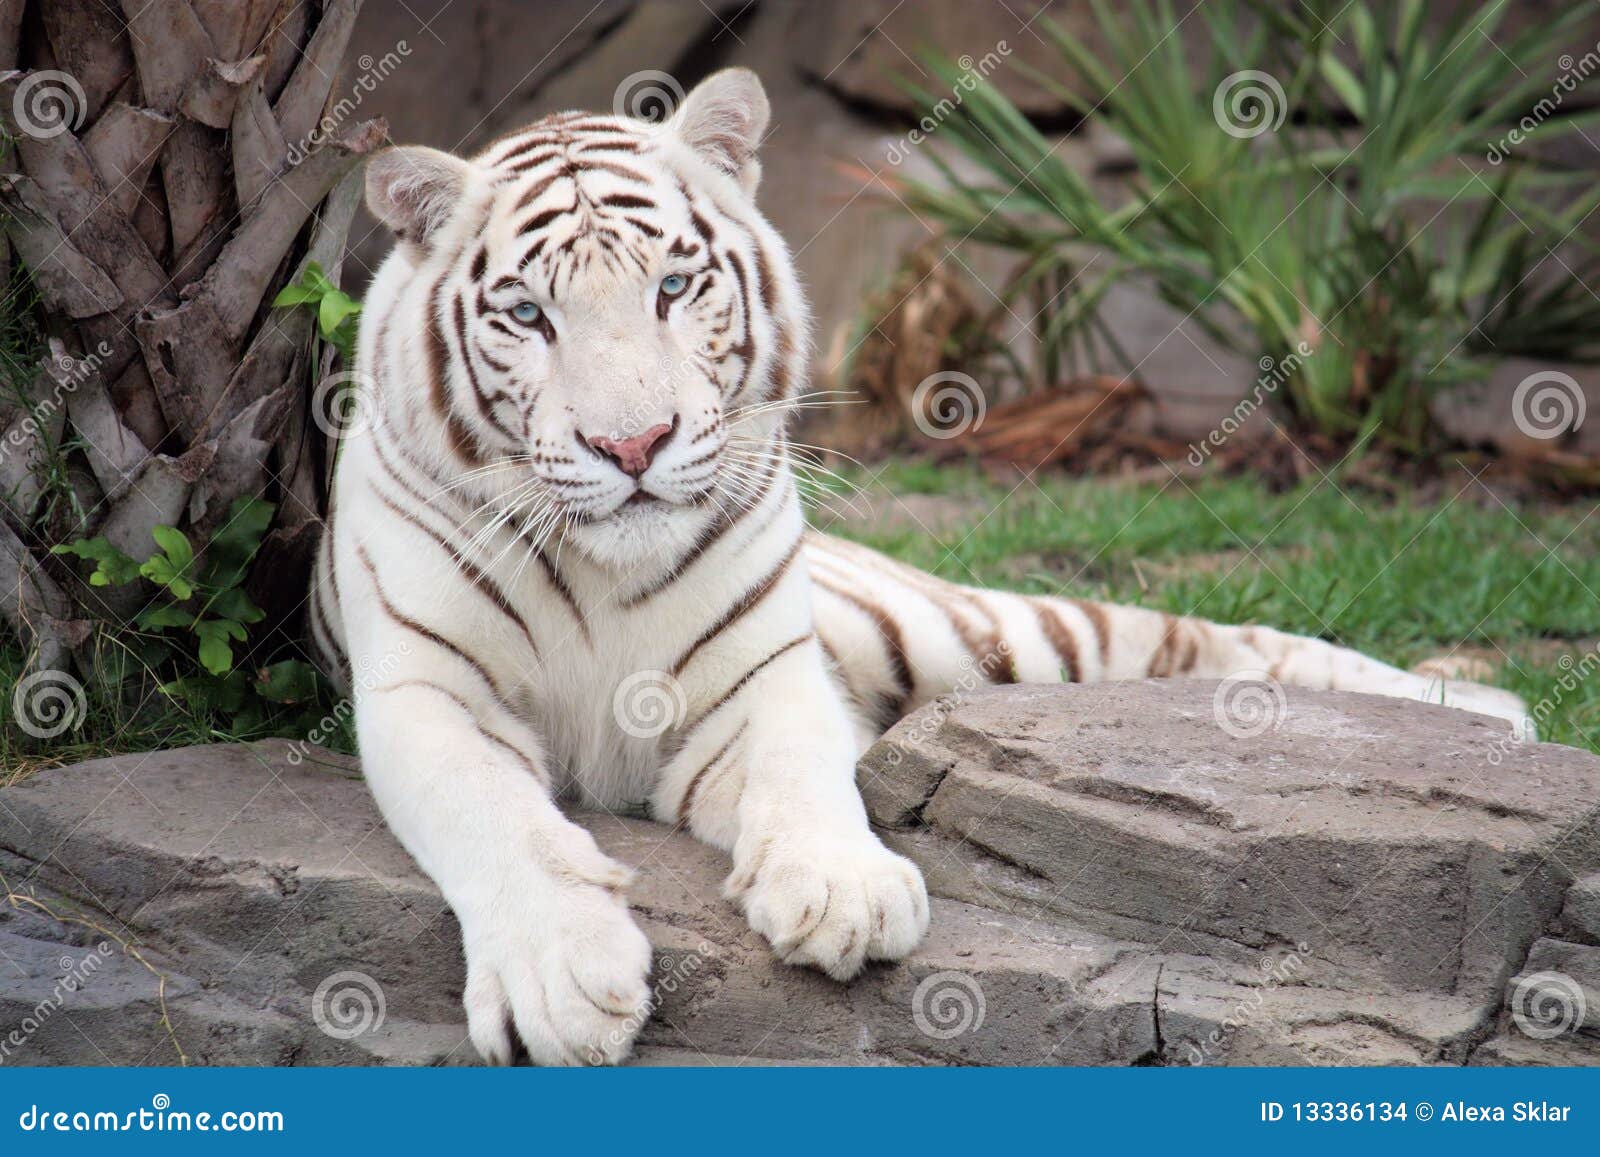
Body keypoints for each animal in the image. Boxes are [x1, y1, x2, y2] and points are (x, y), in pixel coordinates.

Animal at [311, 68, 1529, 1066]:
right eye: (528, 314)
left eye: (672, 289)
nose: (634, 445)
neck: (606, 575)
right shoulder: (425, 691)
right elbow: (495, 817)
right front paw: (563, 978)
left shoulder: (764, 674)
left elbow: (804, 766)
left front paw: (842, 890)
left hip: (967, 635)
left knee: (1194, 638)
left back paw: (1485, 711)